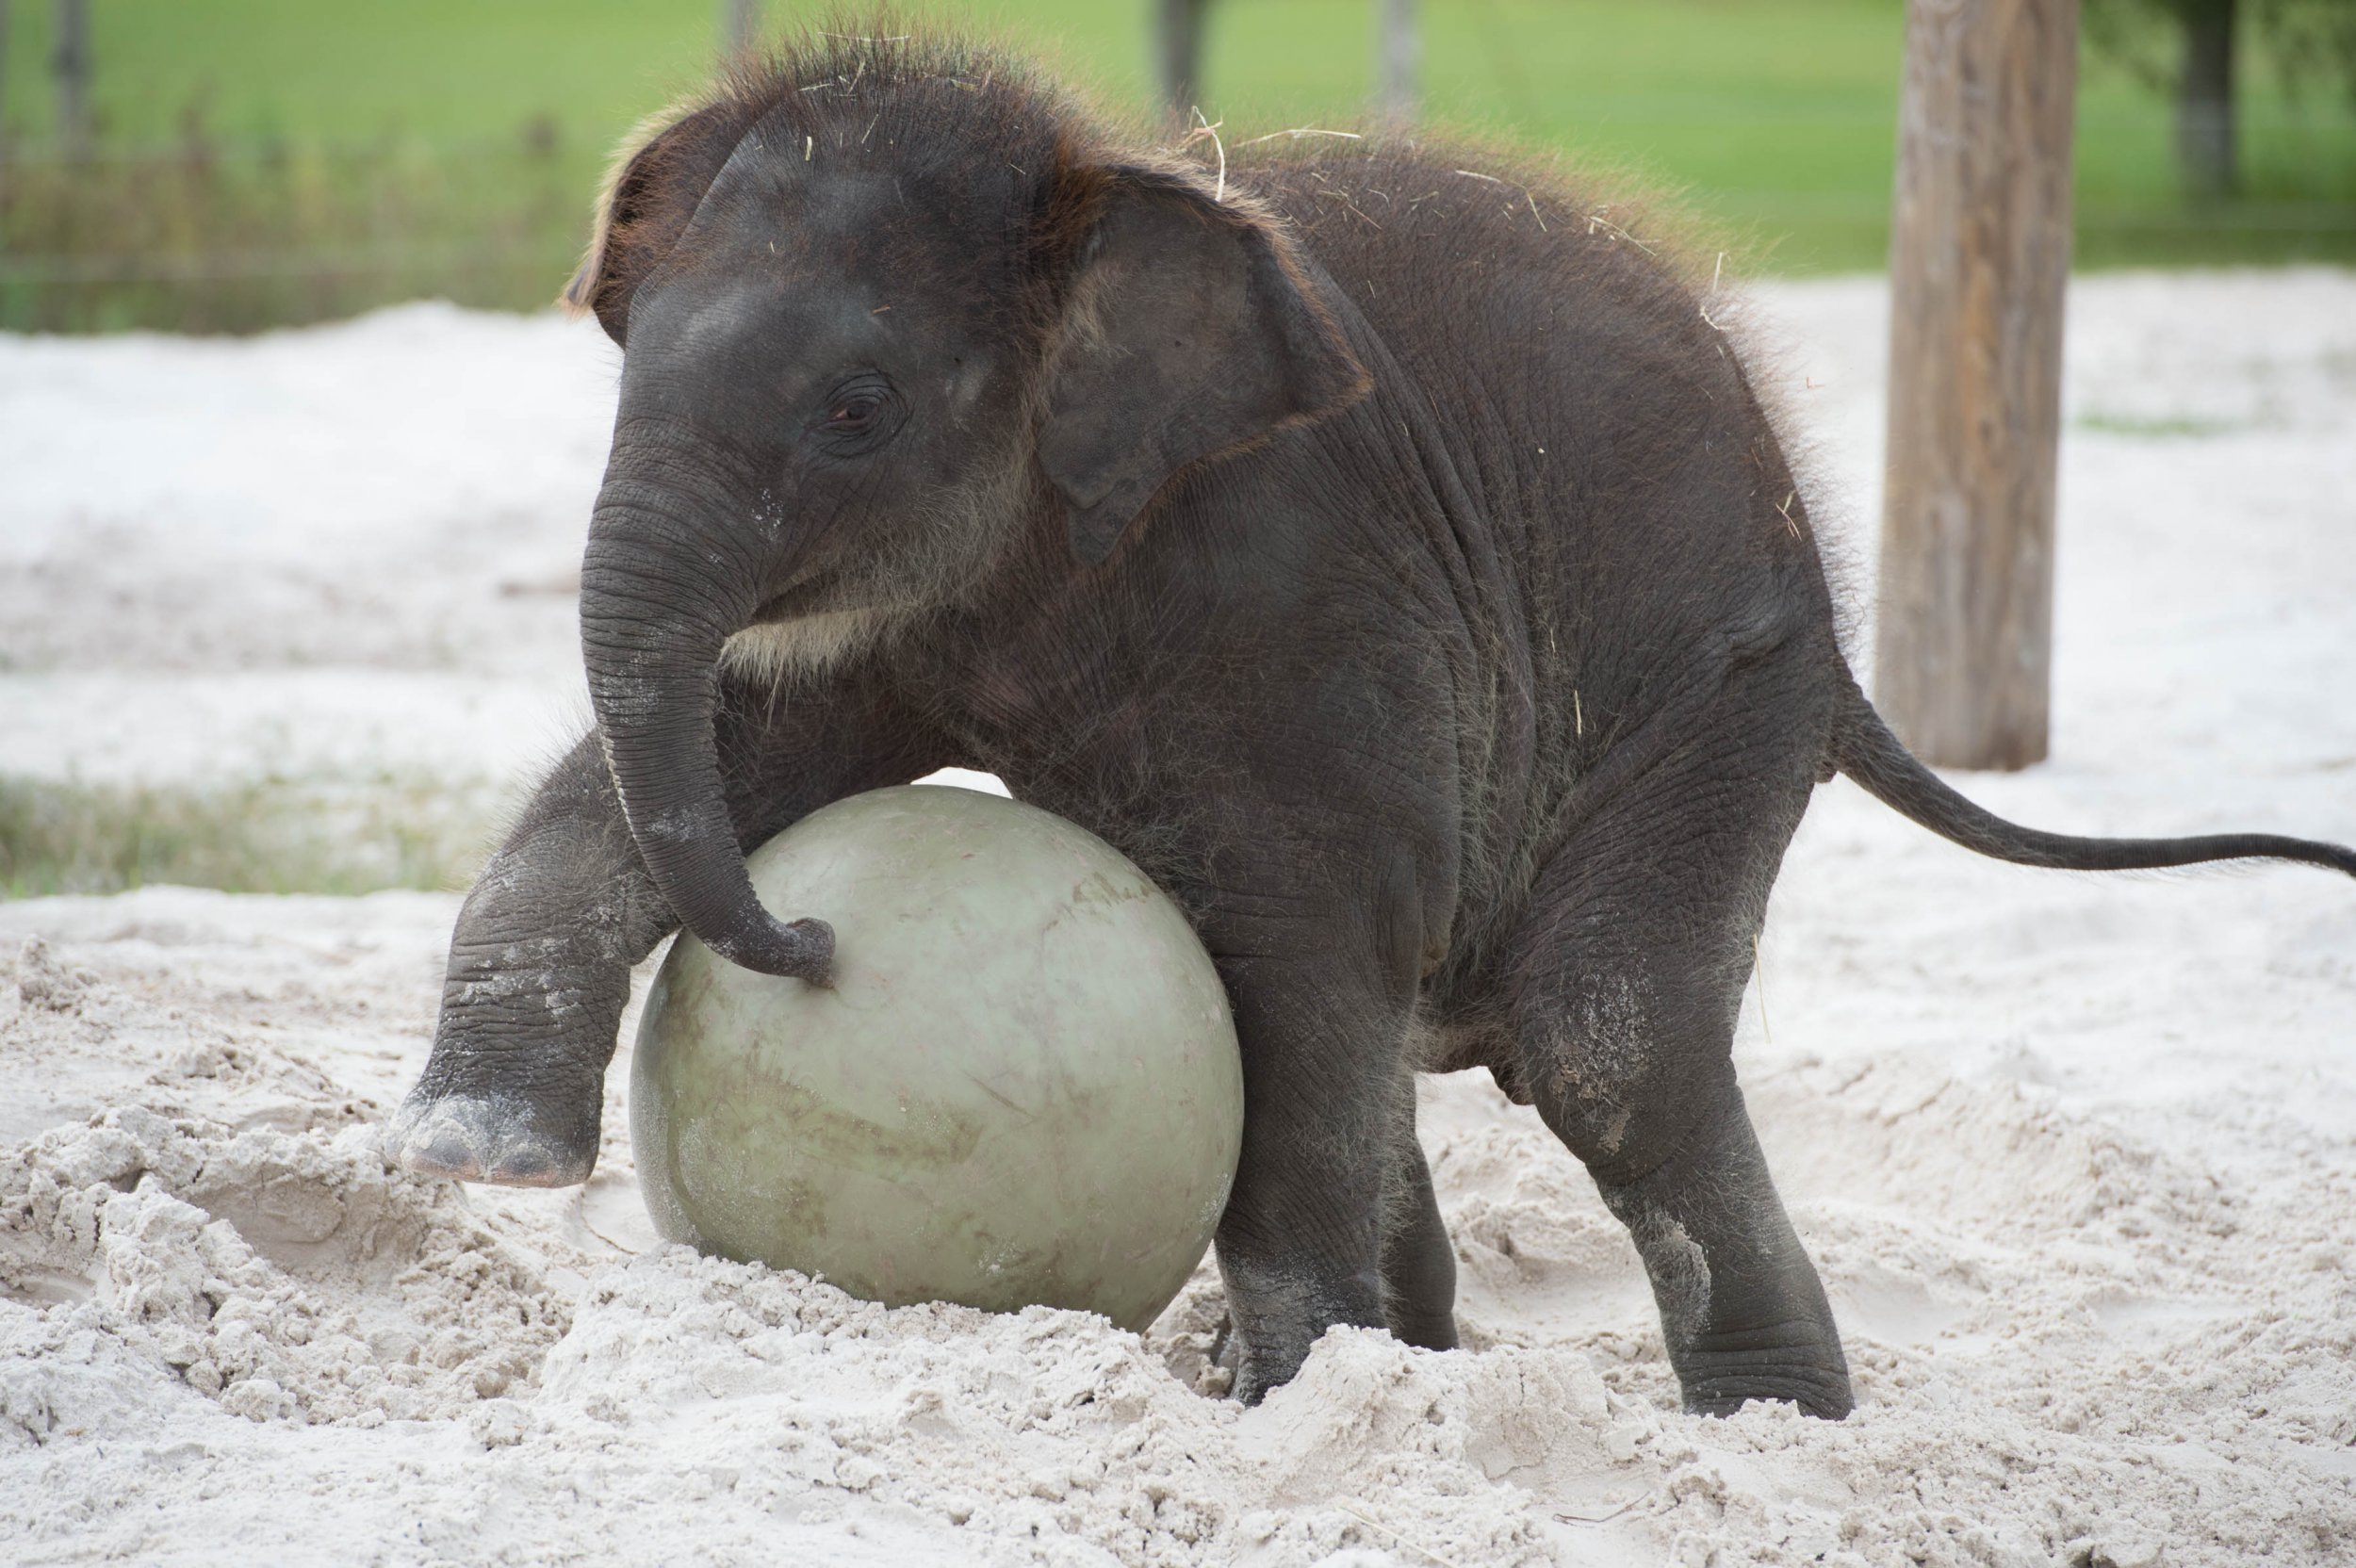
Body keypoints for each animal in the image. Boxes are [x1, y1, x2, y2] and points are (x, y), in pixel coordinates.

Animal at [385, 32, 2355, 1414]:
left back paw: (1766, 1426)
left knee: (1604, 1037)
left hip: (1721, 695)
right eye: (620, 358)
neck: (1101, 189)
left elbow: (1309, 934)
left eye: (857, 404)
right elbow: (718, 748)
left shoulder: (1314, 577)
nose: (802, 934)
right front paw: (464, 1158)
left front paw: (1283, 1388)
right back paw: (1433, 1358)